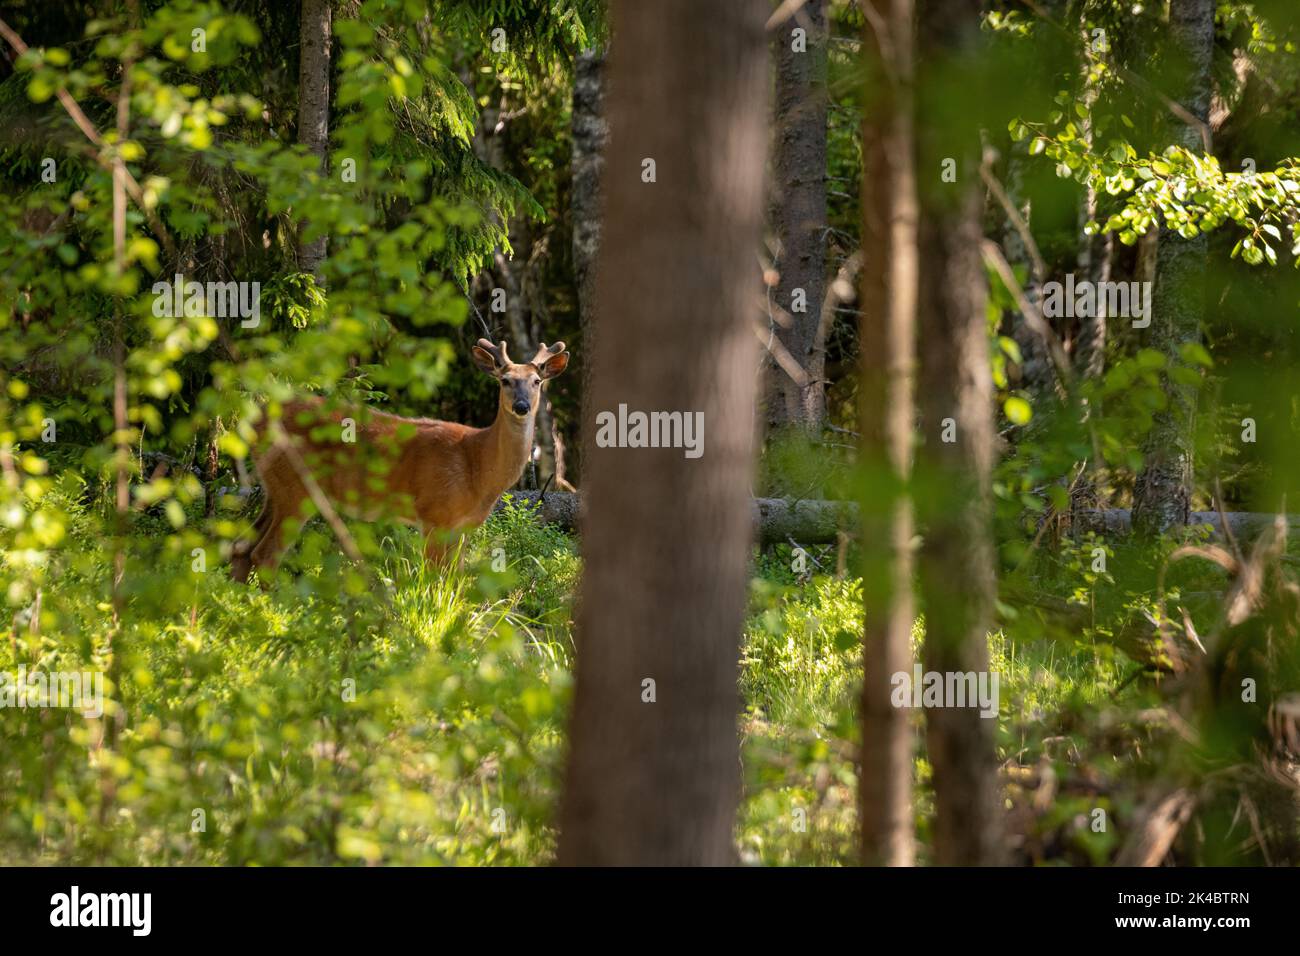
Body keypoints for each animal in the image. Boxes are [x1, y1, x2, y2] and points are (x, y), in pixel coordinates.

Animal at [230, 339, 569, 583]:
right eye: (505, 381)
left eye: (537, 381)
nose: (522, 406)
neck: (478, 465)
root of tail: (256, 420)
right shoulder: (434, 513)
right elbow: (433, 577)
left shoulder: (463, 526)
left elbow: (456, 580)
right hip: (296, 486)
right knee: (265, 554)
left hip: (276, 488)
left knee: (242, 548)